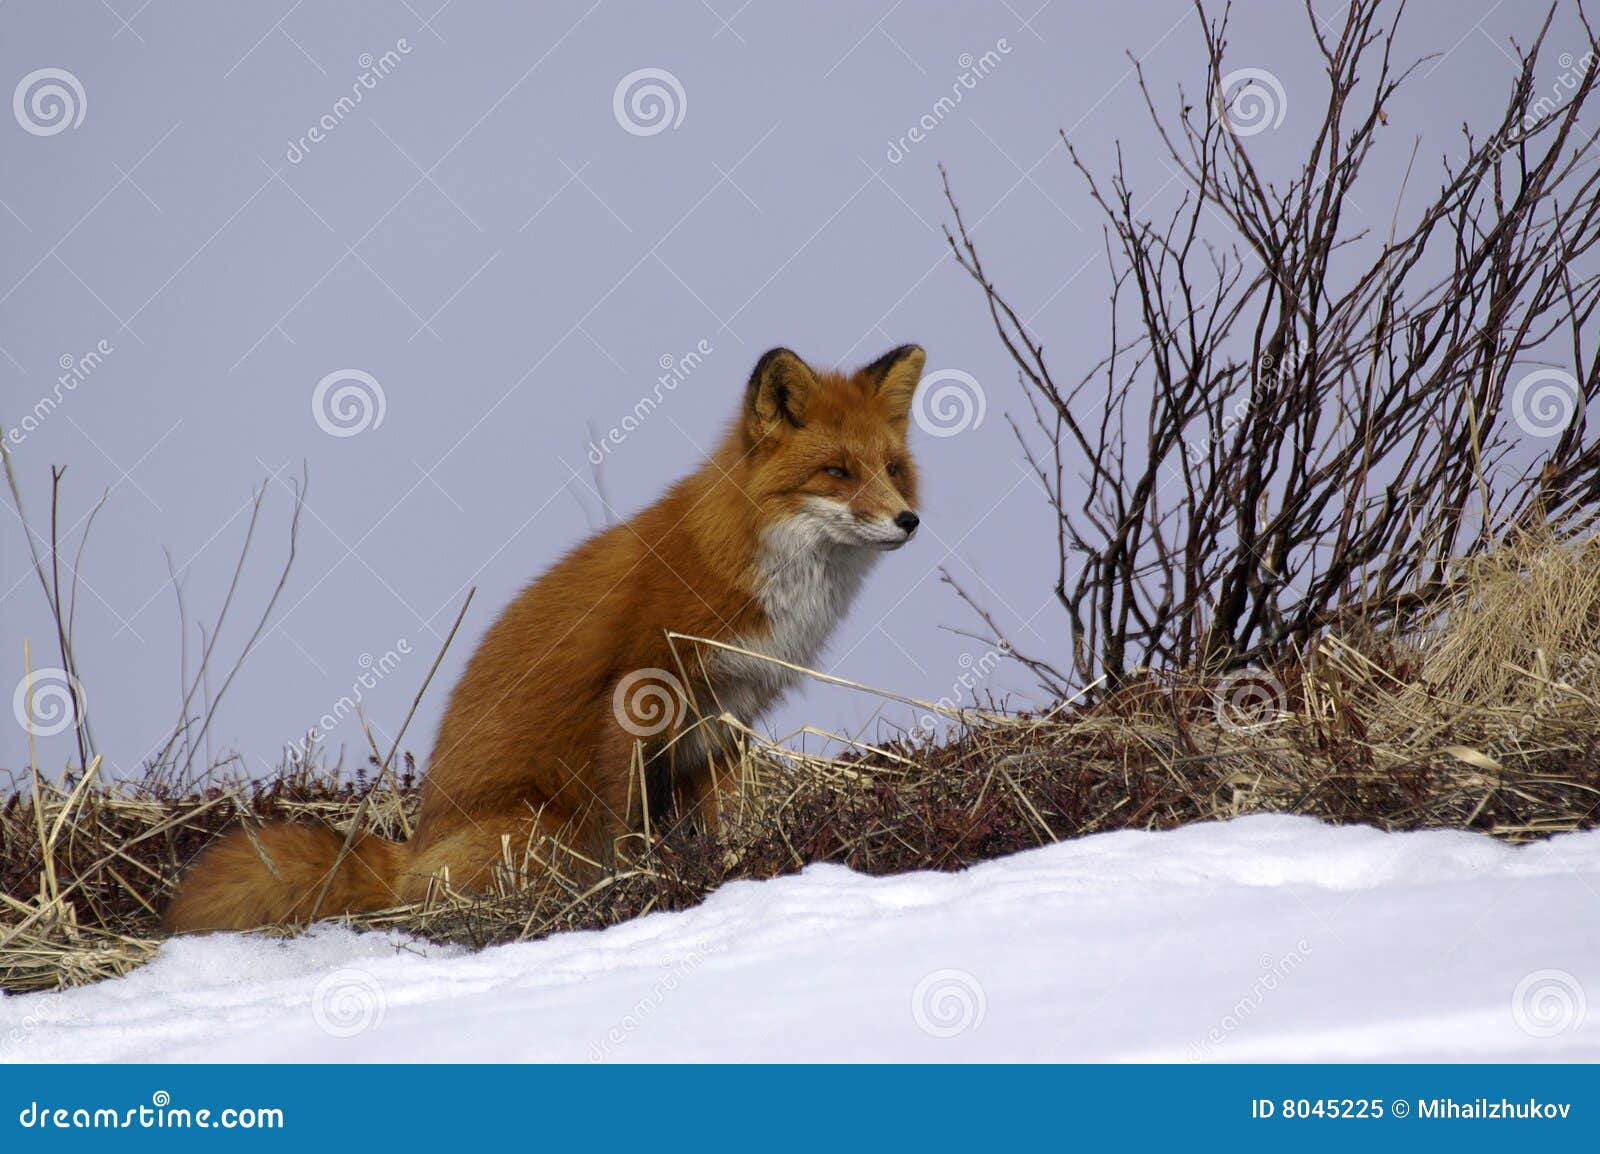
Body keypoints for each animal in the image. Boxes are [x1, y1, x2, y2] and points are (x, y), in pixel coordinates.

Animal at [163, 344, 926, 932]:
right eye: (836, 471)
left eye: (892, 469)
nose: (909, 520)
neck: (746, 563)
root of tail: (410, 854)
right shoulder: (638, 694)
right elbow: (630, 827)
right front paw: (639, 888)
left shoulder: (727, 717)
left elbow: (729, 820)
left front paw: (731, 871)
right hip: (539, 829)